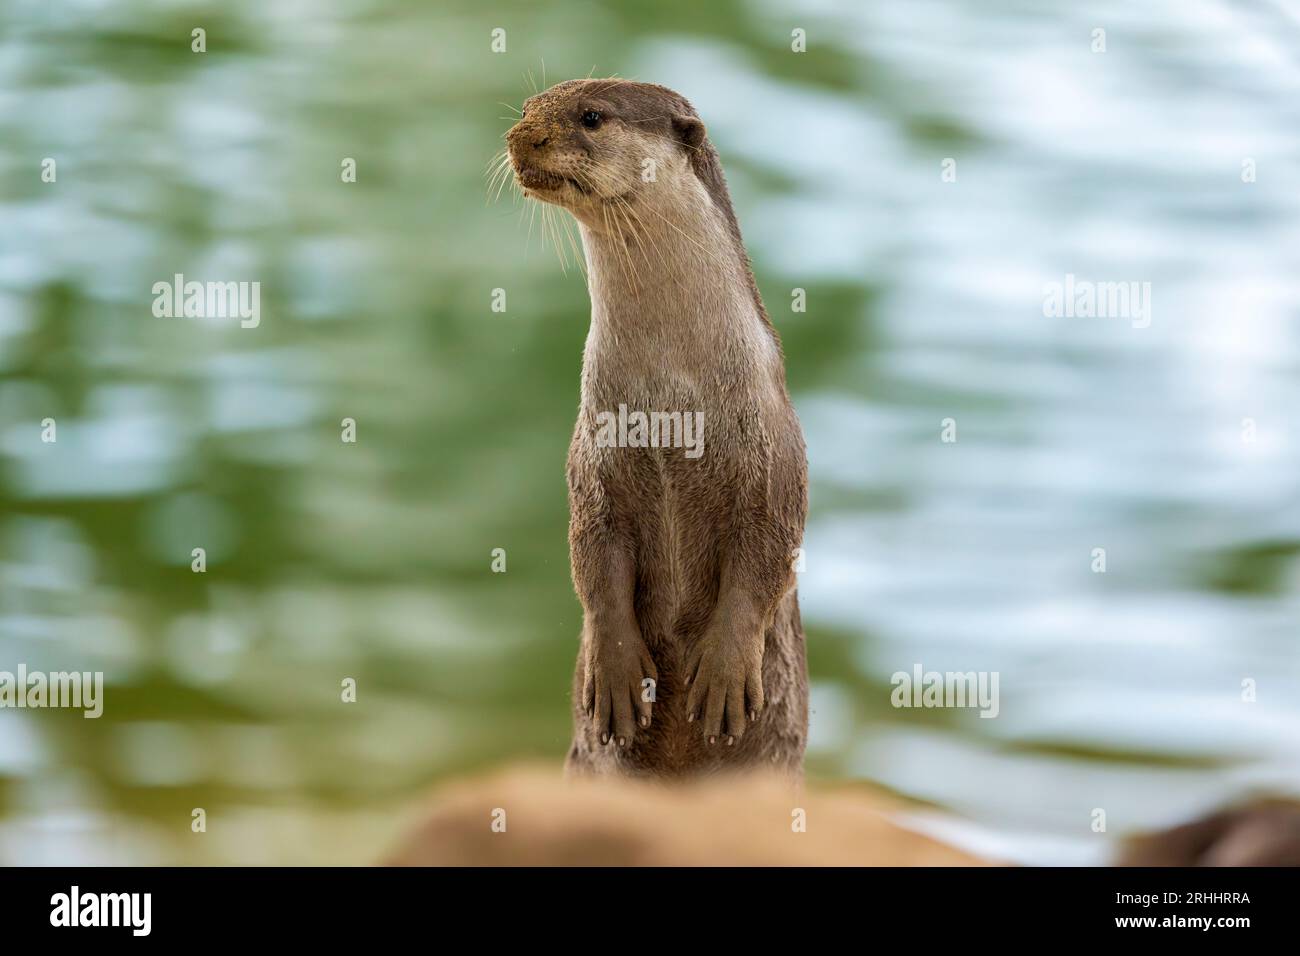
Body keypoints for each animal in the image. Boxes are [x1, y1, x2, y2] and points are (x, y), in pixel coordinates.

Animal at [505, 79, 809, 778]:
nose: (518, 136)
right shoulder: (594, 457)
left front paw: (724, 674)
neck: (672, 402)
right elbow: (592, 553)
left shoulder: (773, 450)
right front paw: (615, 673)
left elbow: (768, 554)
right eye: (528, 106)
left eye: (591, 116)